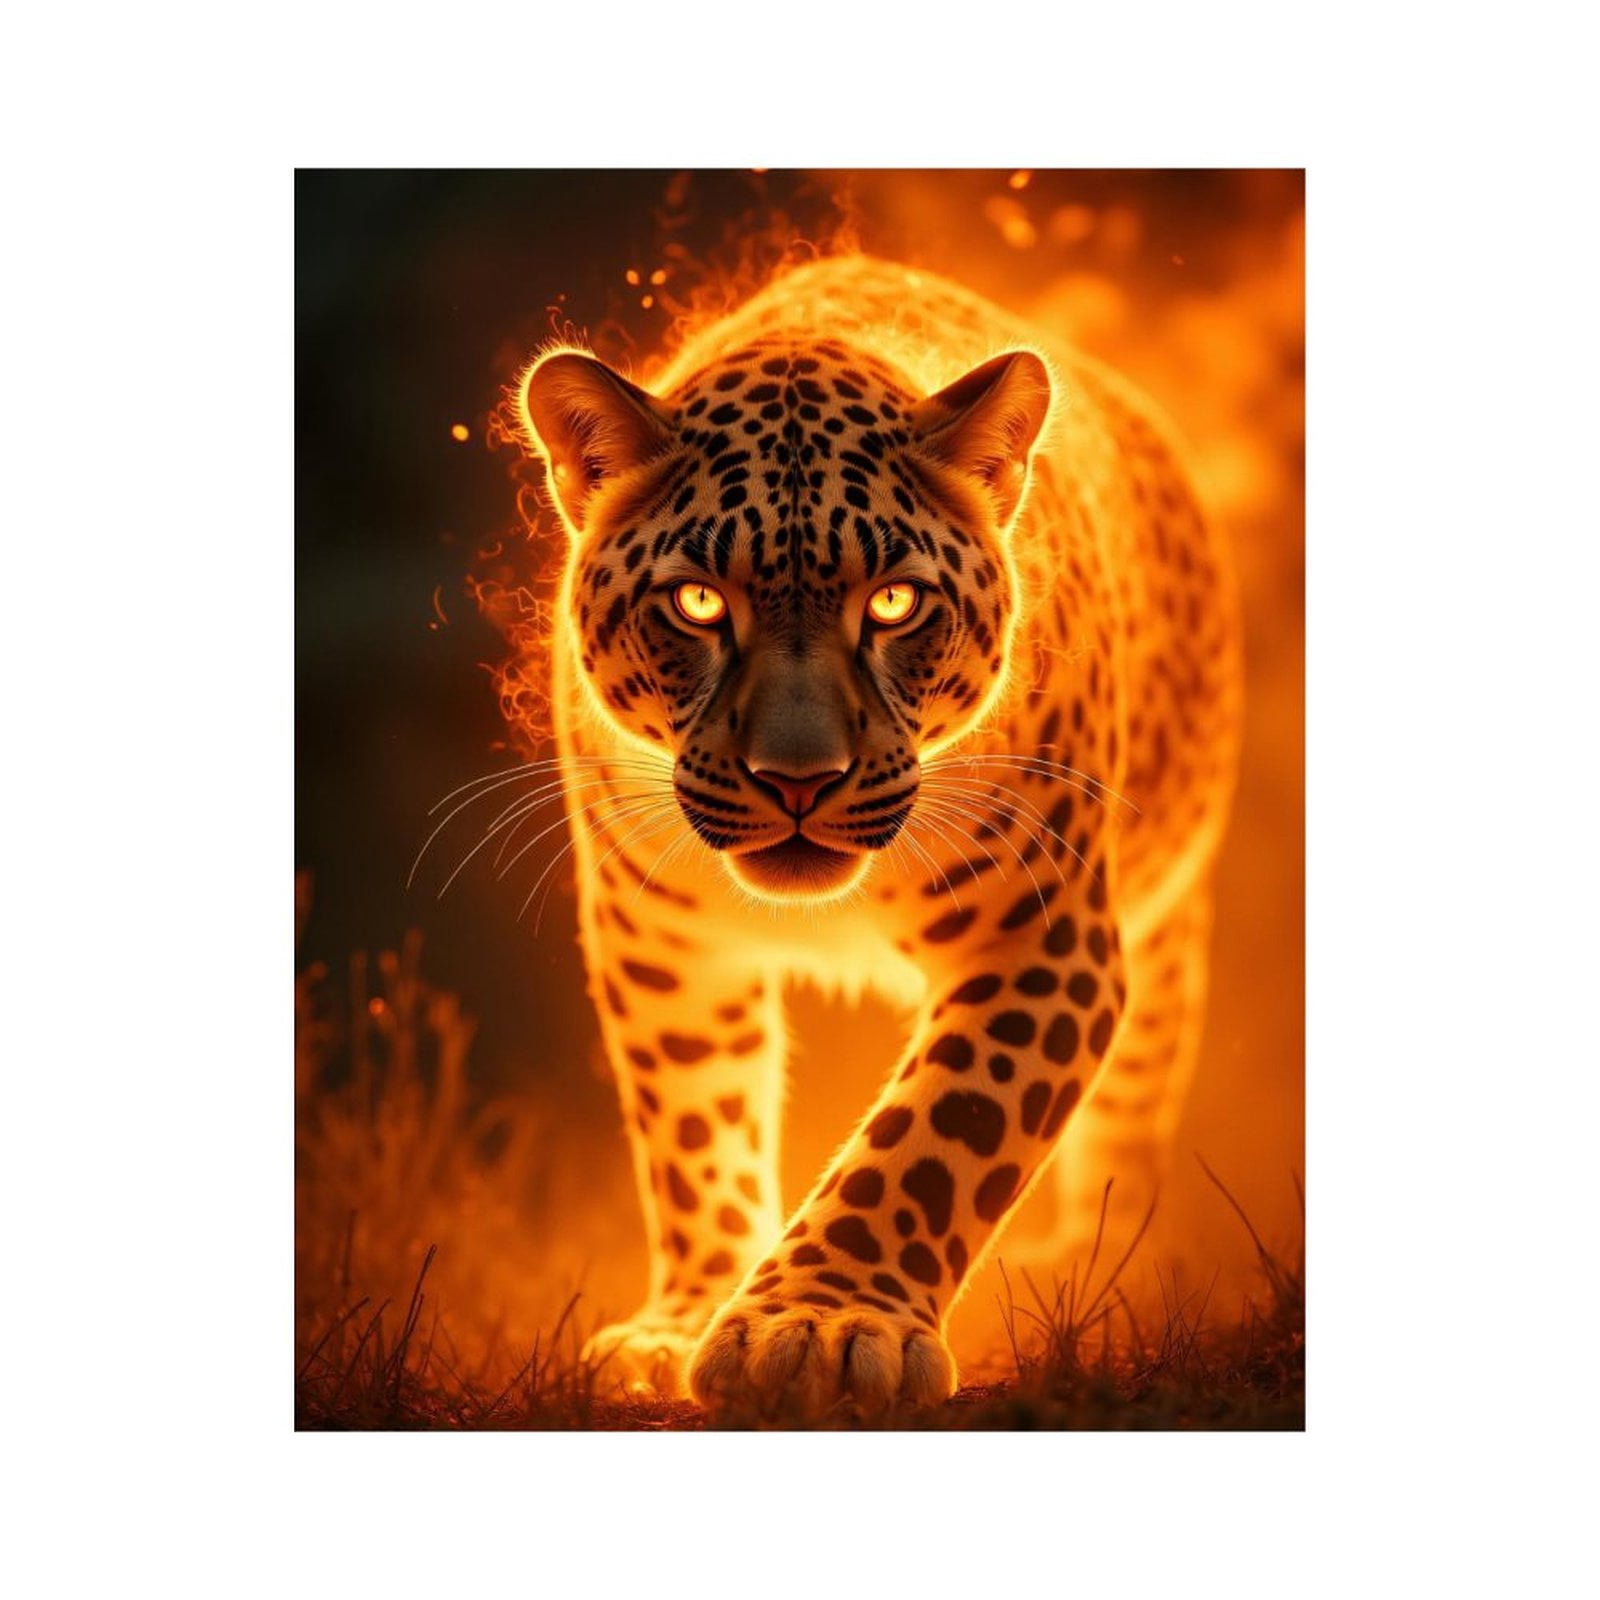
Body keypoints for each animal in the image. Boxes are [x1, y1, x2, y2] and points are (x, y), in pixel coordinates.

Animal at [505, 254, 1242, 1420]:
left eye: (895, 604)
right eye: (696, 603)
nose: (797, 780)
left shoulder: (1042, 942)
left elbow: (933, 1139)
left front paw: (815, 1326)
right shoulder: (664, 944)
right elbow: (695, 1131)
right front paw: (682, 1321)